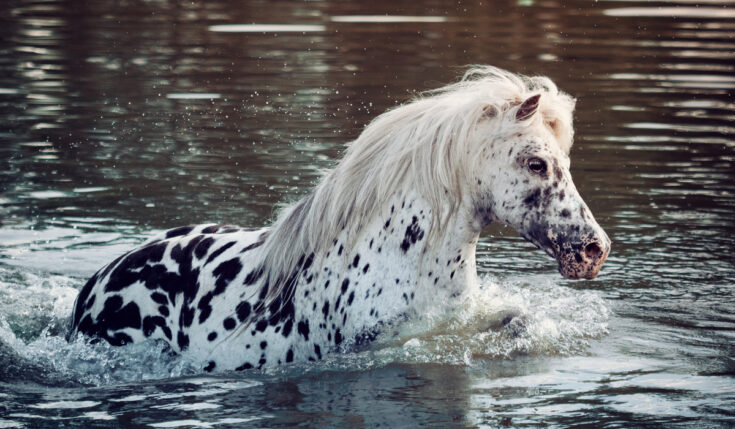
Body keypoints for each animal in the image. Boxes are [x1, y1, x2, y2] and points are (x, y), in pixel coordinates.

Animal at [67, 66, 611, 371]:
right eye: (537, 163)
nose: (594, 250)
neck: (397, 258)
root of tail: (95, 285)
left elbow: (516, 319)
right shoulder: (380, 343)